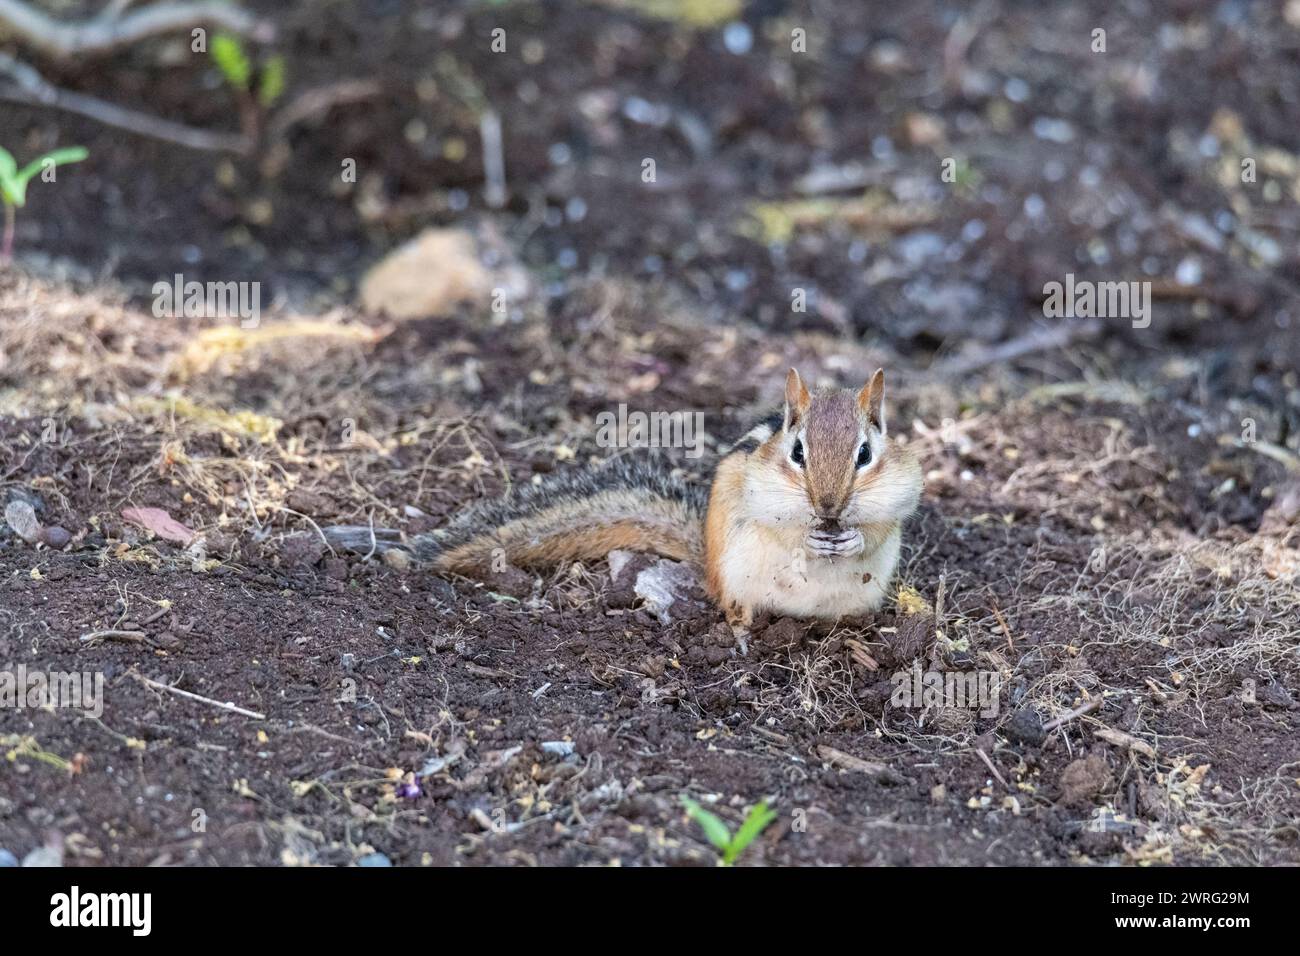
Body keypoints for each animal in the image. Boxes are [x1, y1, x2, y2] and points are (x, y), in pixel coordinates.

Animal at [322, 368, 922, 627]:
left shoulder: (898, 493)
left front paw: (848, 539)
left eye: (864, 454)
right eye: (797, 452)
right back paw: (742, 632)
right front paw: (812, 538)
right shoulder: (757, 492)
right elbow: (783, 527)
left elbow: (876, 531)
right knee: (734, 607)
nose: (829, 507)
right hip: (733, 576)